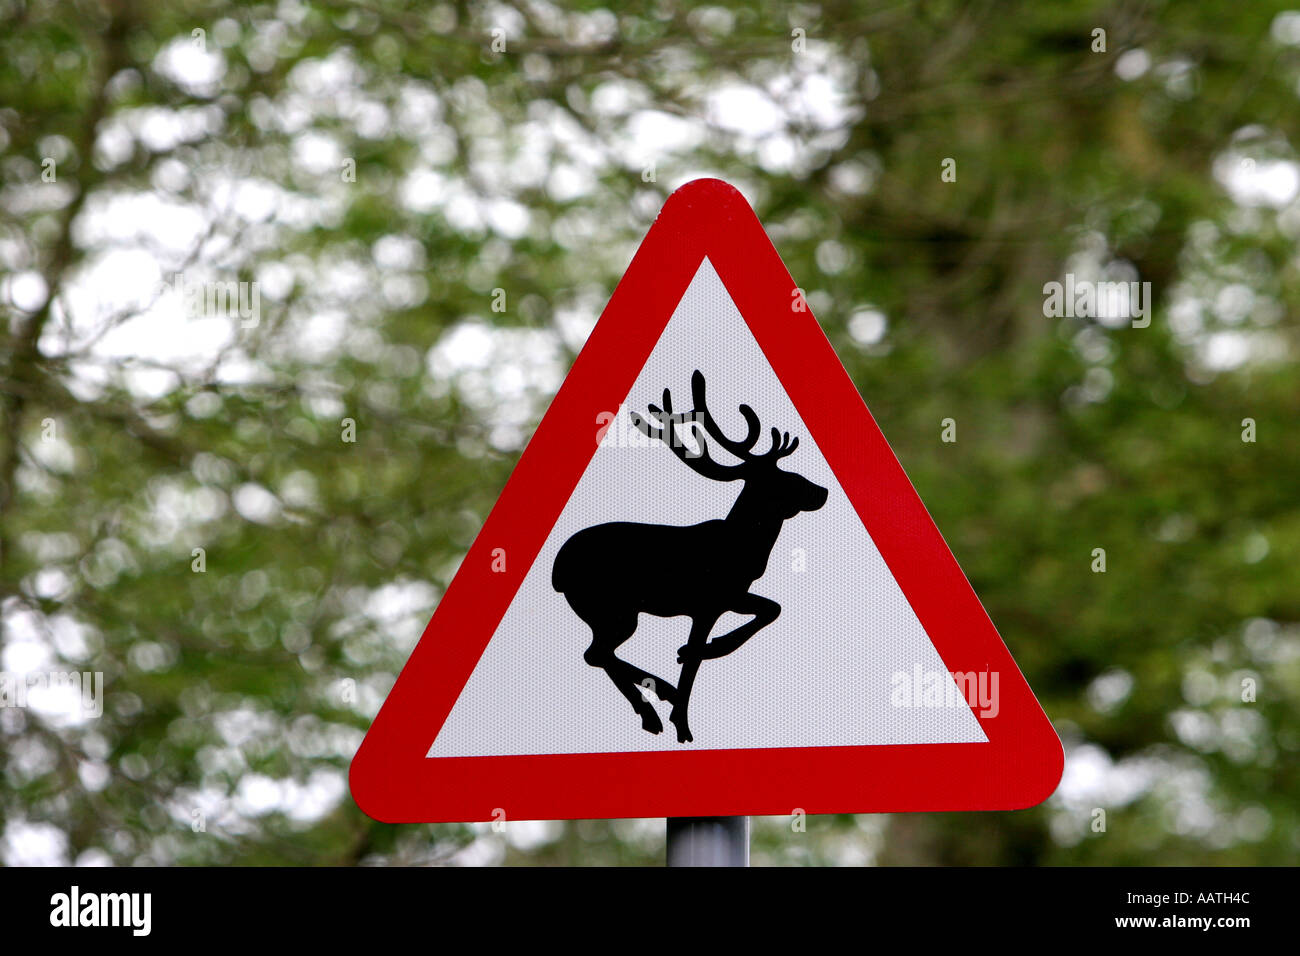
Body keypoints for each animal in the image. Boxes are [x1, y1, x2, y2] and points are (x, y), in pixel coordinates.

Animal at [551, 370, 828, 744]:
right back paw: (661, 696)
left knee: (598, 654)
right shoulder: (709, 600)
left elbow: (771, 608)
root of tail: (557, 573)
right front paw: (682, 723)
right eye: (784, 478)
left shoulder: (731, 596)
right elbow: (699, 655)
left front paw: (698, 660)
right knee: (597, 653)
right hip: (614, 608)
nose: (822, 491)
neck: (742, 546)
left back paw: (651, 714)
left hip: (605, 613)